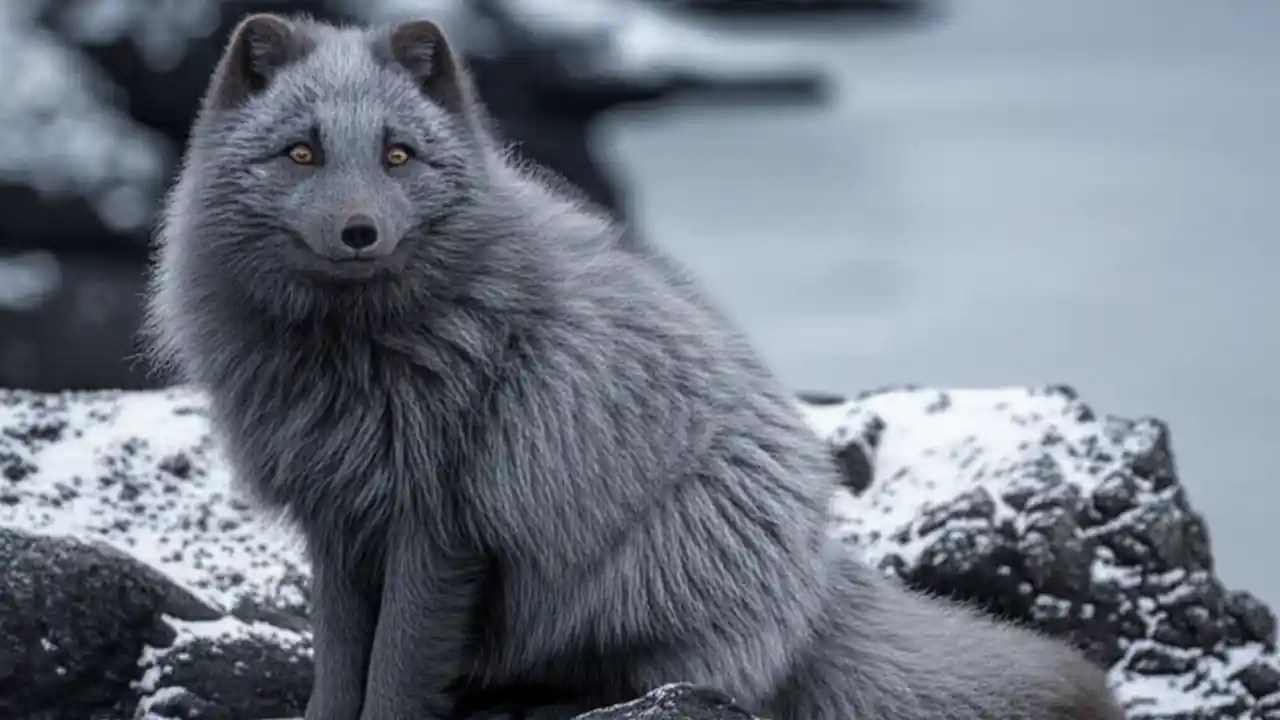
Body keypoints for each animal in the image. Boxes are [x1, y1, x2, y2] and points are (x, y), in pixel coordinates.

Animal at [146, 12, 1126, 720]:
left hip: (651, 564)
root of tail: (821, 582)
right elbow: (340, 657)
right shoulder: (341, 520)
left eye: (397, 153)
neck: (351, 355)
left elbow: (394, 668)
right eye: (301, 151)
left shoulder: (441, 519)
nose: (359, 232)